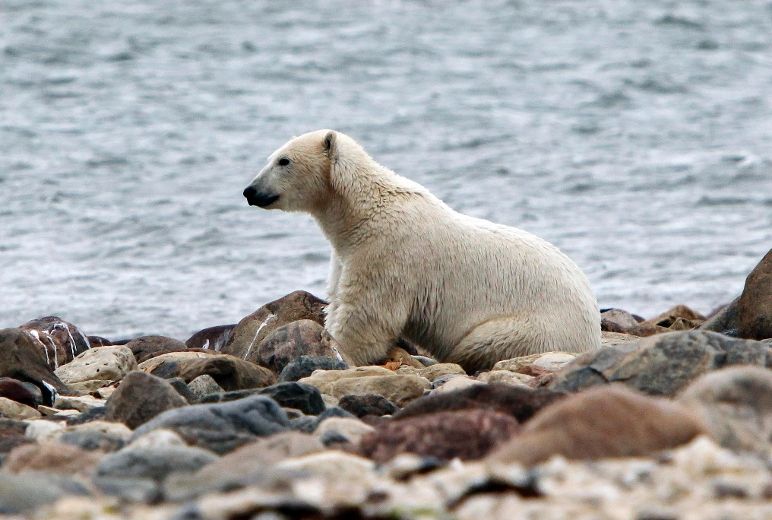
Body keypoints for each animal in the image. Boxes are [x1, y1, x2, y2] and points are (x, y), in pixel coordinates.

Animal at [243, 130, 601, 373]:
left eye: (283, 160)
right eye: (271, 157)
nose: (250, 190)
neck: (361, 211)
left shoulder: (388, 251)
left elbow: (367, 312)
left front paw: (339, 351)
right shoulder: (348, 252)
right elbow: (340, 298)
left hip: (534, 328)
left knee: (483, 340)